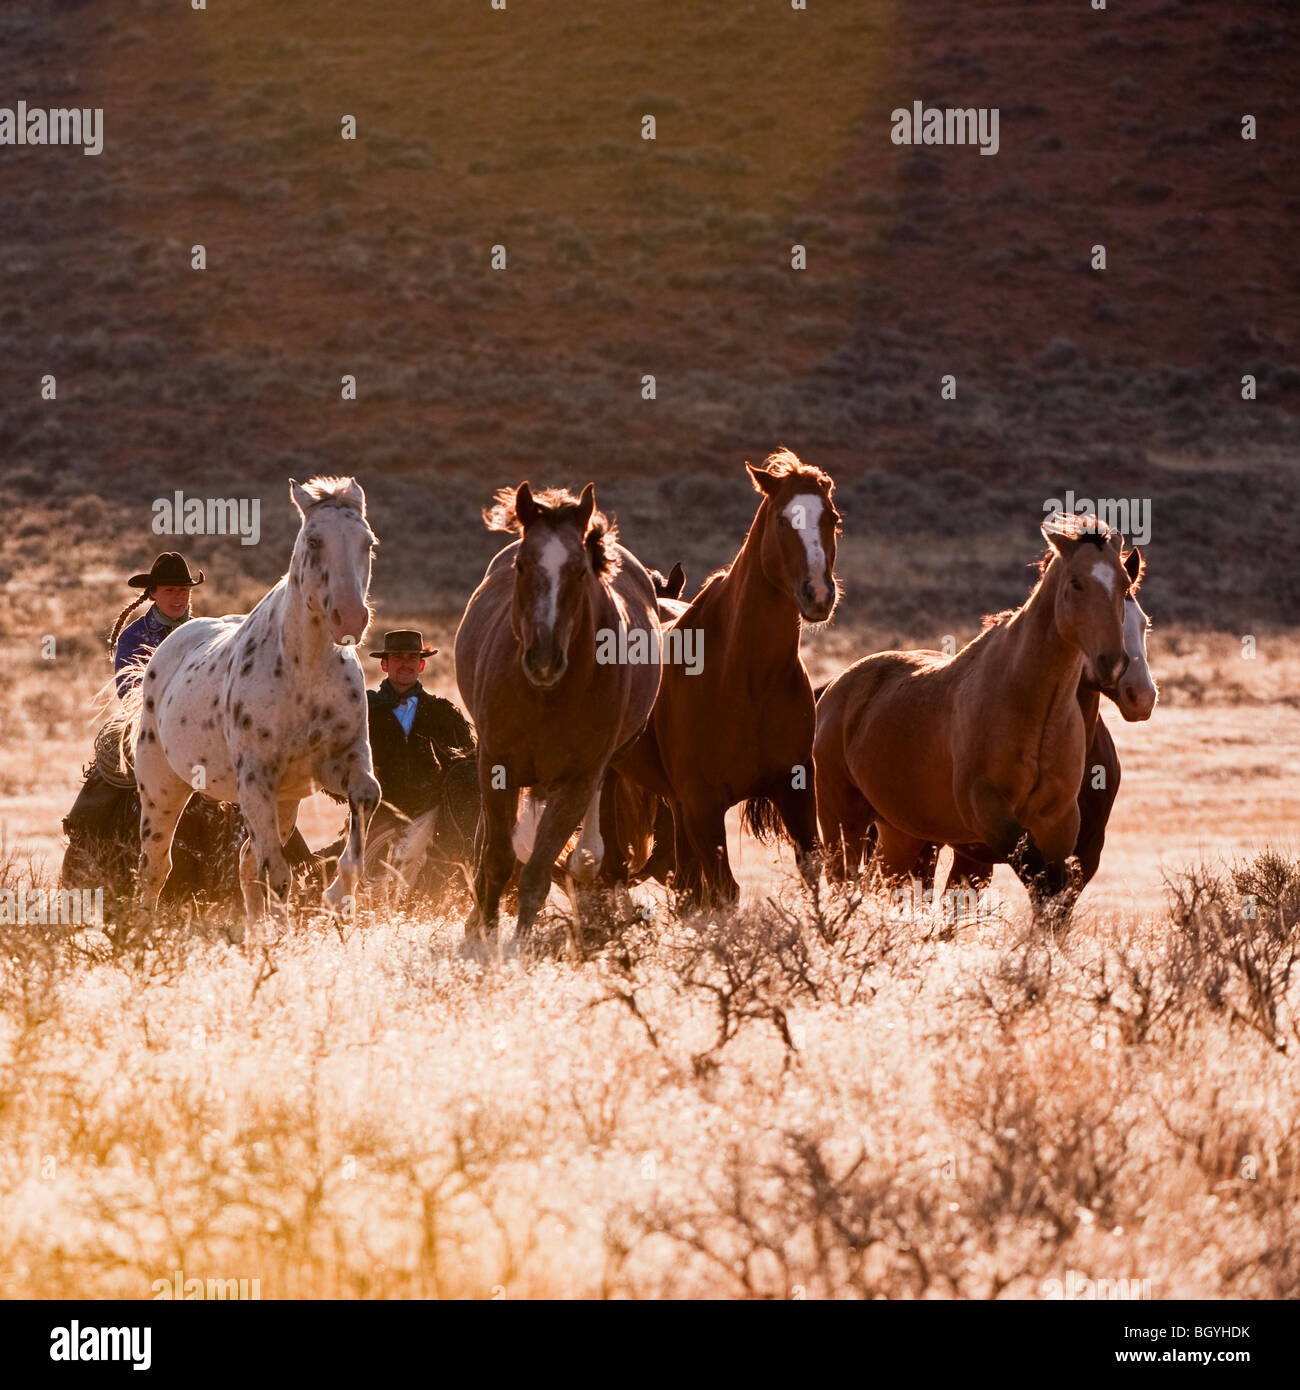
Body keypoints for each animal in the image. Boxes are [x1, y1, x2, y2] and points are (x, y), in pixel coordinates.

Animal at [130, 477, 381, 921]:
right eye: (314, 541)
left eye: (367, 542)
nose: (351, 618)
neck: (304, 671)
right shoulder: (255, 781)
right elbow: (278, 876)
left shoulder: (339, 763)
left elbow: (368, 797)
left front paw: (338, 896)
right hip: (162, 788)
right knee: (156, 867)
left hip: (283, 803)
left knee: (247, 862)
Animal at [454, 482, 661, 939]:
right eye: (521, 566)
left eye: (580, 572)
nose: (544, 659)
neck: (544, 697)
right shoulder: (496, 764)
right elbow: (497, 859)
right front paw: (484, 935)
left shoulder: (578, 780)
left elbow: (536, 872)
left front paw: (518, 944)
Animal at [614, 449, 840, 908]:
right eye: (781, 519)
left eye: (832, 518)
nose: (818, 595)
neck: (745, 676)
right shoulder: (702, 804)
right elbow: (723, 892)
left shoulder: (795, 790)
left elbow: (811, 872)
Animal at [813, 514, 1129, 917]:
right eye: (1076, 583)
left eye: (1124, 584)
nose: (1112, 663)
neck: (1035, 711)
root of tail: (836, 688)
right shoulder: (988, 811)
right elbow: (1037, 876)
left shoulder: (1058, 821)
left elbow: (1053, 896)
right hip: (843, 820)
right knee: (846, 881)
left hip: (901, 832)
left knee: (881, 883)